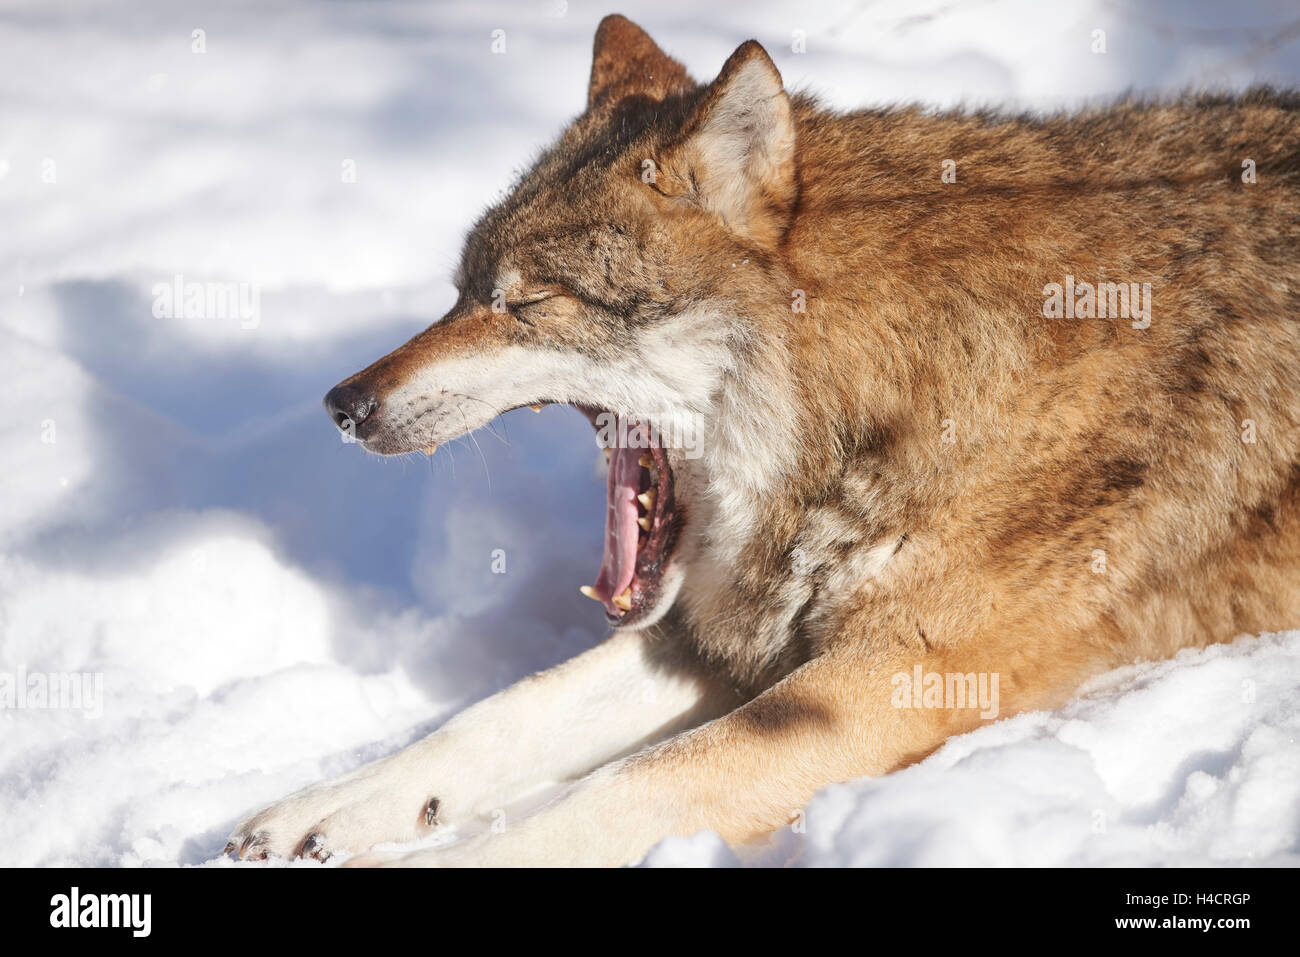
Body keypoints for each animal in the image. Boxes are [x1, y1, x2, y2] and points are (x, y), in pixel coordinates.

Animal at [226, 15, 1300, 866]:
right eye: (459, 291)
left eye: (523, 303)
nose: (342, 403)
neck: (880, 394)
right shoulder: (724, 630)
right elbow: (498, 712)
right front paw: (323, 809)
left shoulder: (882, 682)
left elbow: (630, 787)